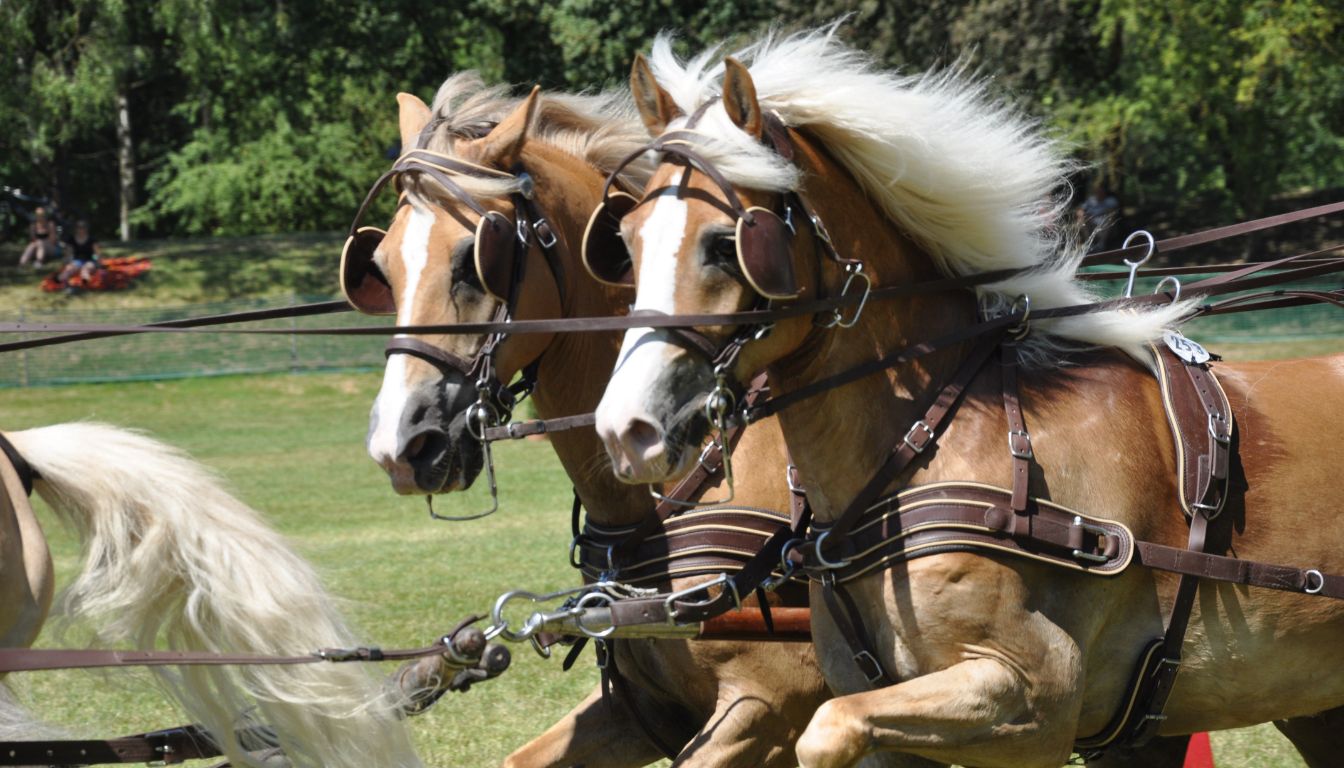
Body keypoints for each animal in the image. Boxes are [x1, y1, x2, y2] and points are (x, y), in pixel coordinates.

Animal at [591, 28, 1344, 768]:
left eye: (728, 243)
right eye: (625, 243)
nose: (628, 428)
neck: (932, 441)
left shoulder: (1037, 697)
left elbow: (826, 730)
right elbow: (840, 727)